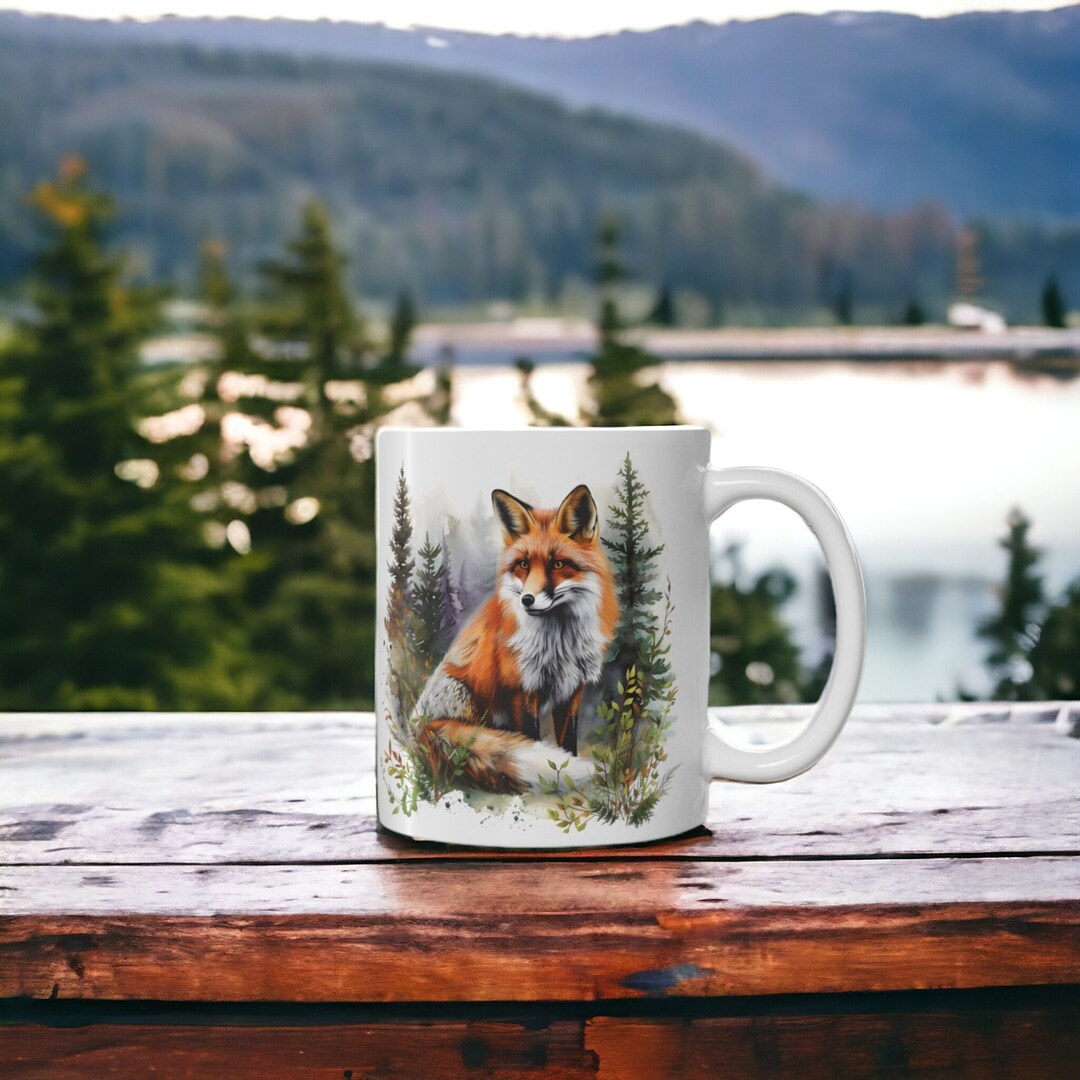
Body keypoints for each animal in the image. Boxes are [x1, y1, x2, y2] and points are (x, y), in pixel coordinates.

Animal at [413, 483, 619, 795]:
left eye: (558, 564)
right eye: (523, 564)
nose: (527, 600)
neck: (560, 643)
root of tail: (416, 725)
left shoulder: (572, 688)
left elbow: (568, 742)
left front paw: (567, 771)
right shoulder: (521, 688)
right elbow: (531, 738)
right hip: (470, 699)